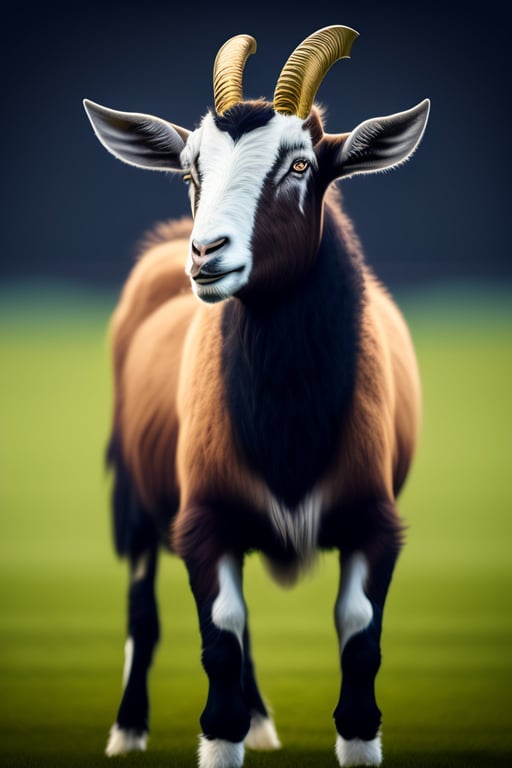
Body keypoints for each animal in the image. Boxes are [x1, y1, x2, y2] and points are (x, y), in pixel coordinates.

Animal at [84, 25, 428, 768]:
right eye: (191, 169)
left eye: (300, 165)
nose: (206, 254)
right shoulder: (203, 522)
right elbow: (220, 642)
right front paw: (223, 730)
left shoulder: (375, 522)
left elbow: (358, 638)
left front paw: (354, 732)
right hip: (137, 503)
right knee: (142, 610)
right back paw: (127, 730)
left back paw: (264, 721)